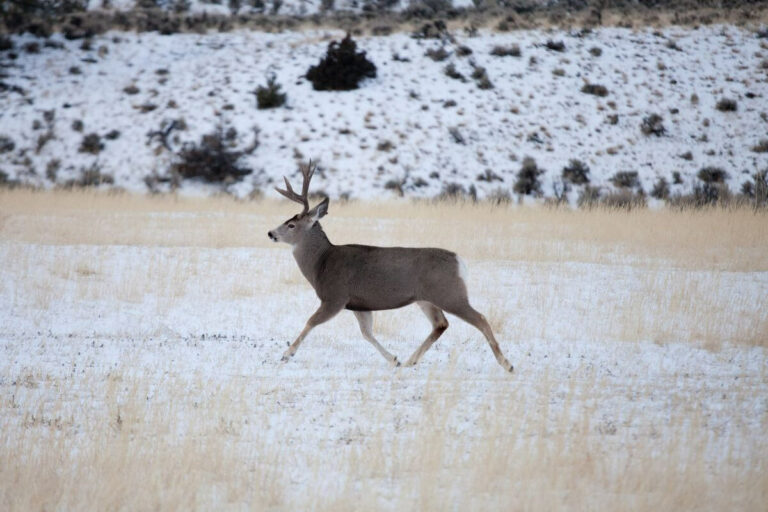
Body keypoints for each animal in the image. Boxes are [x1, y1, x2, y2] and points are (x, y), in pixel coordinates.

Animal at [267, 161, 514, 372]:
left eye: (291, 224)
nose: (270, 233)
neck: (322, 263)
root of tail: (459, 261)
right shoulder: (359, 304)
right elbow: (367, 333)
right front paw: (394, 359)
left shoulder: (335, 296)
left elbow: (311, 321)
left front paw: (287, 354)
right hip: (426, 298)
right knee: (441, 324)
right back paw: (410, 361)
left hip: (450, 293)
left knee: (479, 318)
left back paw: (507, 364)